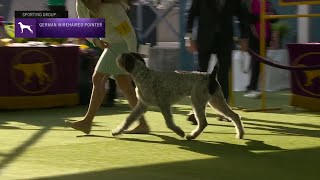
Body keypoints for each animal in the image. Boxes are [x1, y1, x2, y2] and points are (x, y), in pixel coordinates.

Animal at [111, 52, 244, 140]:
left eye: (123, 56)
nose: (116, 56)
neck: (143, 75)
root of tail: (211, 75)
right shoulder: (142, 105)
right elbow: (128, 119)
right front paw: (117, 132)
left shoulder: (164, 105)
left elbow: (169, 123)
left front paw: (180, 132)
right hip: (216, 102)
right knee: (235, 116)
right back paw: (240, 134)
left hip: (198, 102)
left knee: (203, 122)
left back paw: (191, 136)